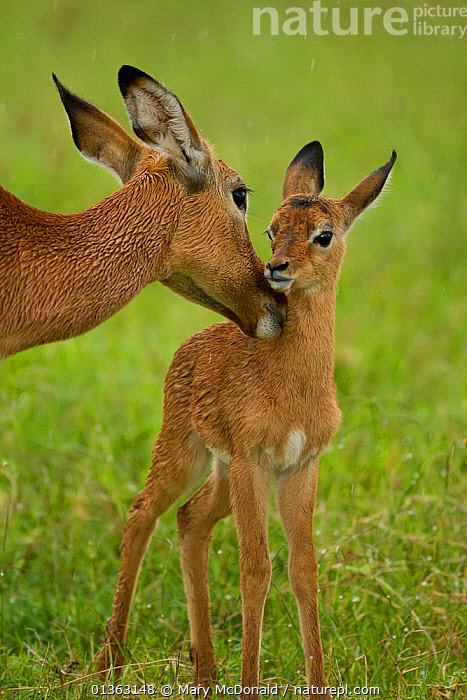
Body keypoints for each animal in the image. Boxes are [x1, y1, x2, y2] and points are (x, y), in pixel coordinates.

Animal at [98, 141, 396, 695]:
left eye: (324, 234)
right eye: (272, 228)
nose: (277, 267)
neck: (291, 381)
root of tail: (191, 346)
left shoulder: (299, 467)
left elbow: (304, 570)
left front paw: (318, 683)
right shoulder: (253, 461)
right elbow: (256, 568)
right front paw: (252, 682)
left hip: (220, 473)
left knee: (189, 518)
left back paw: (205, 671)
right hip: (189, 454)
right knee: (142, 512)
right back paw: (111, 664)